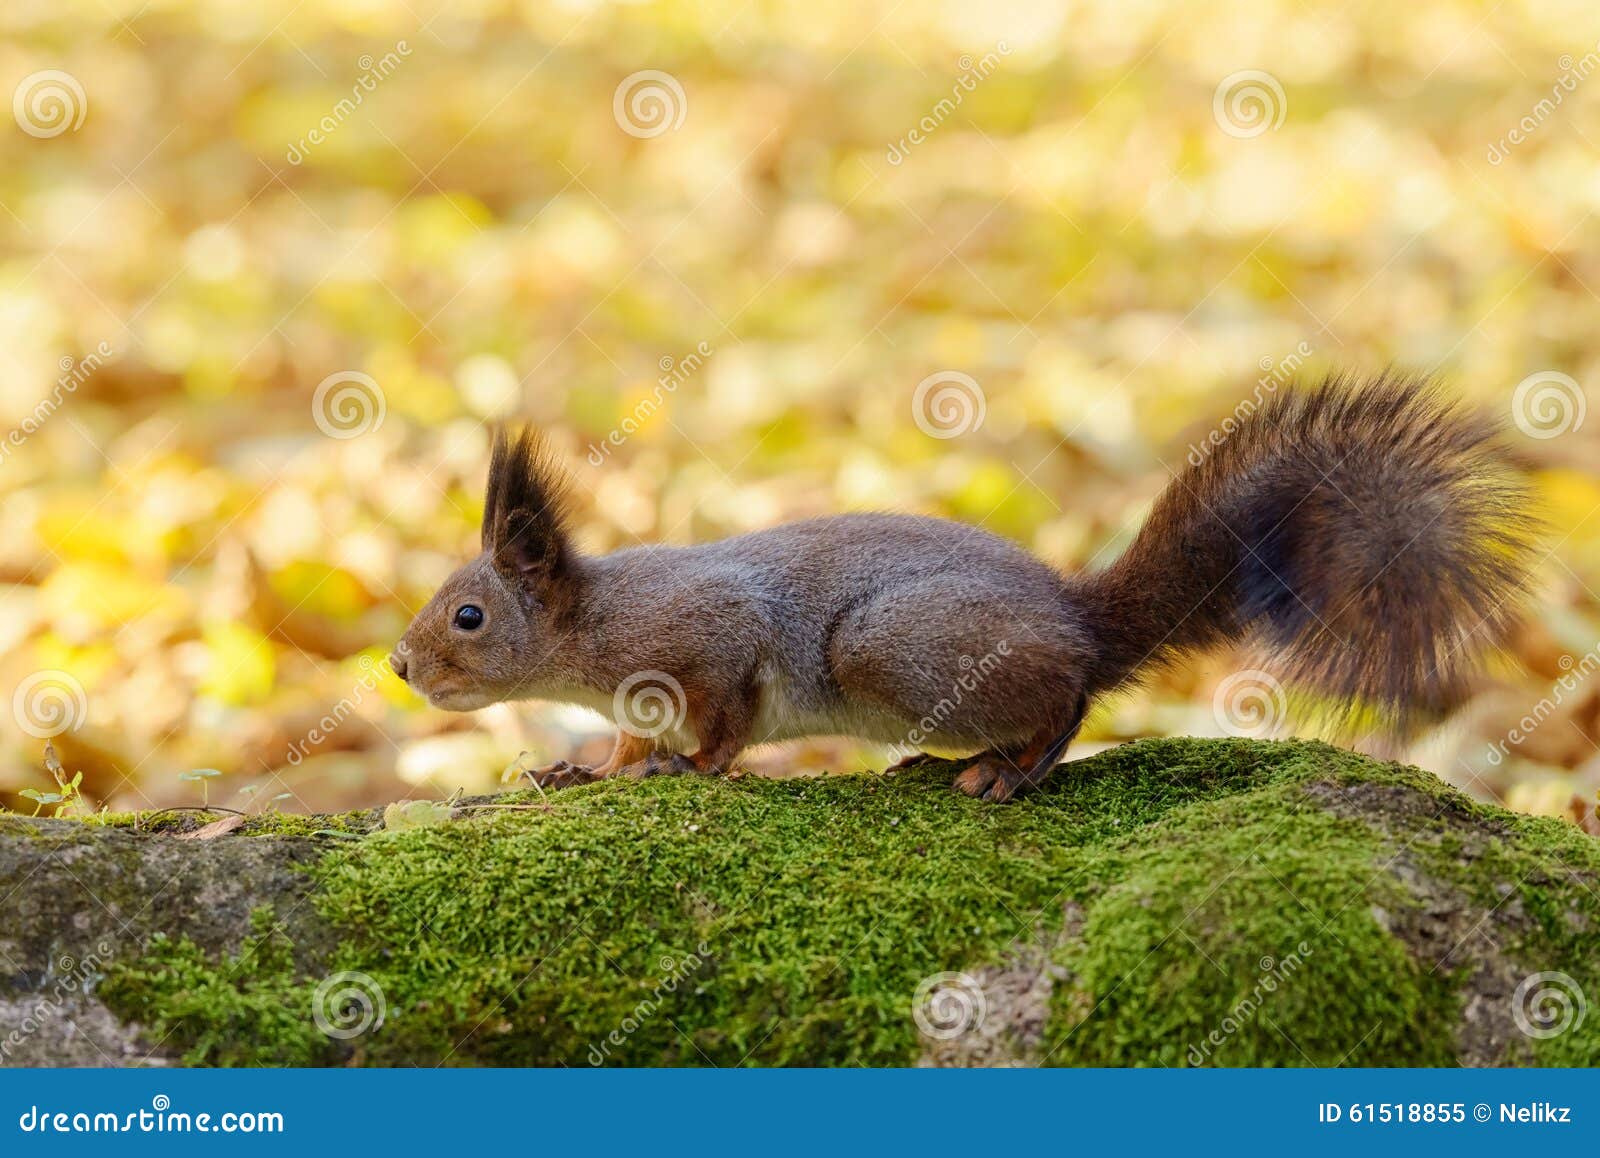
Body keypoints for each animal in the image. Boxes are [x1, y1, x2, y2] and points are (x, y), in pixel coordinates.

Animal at [390, 372, 1535, 802]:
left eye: (469, 615)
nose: (398, 665)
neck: (593, 625)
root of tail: (1079, 617)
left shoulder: (708, 636)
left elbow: (721, 722)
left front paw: (687, 768)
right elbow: (628, 742)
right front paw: (584, 767)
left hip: (891, 647)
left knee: (1069, 699)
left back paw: (1006, 770)